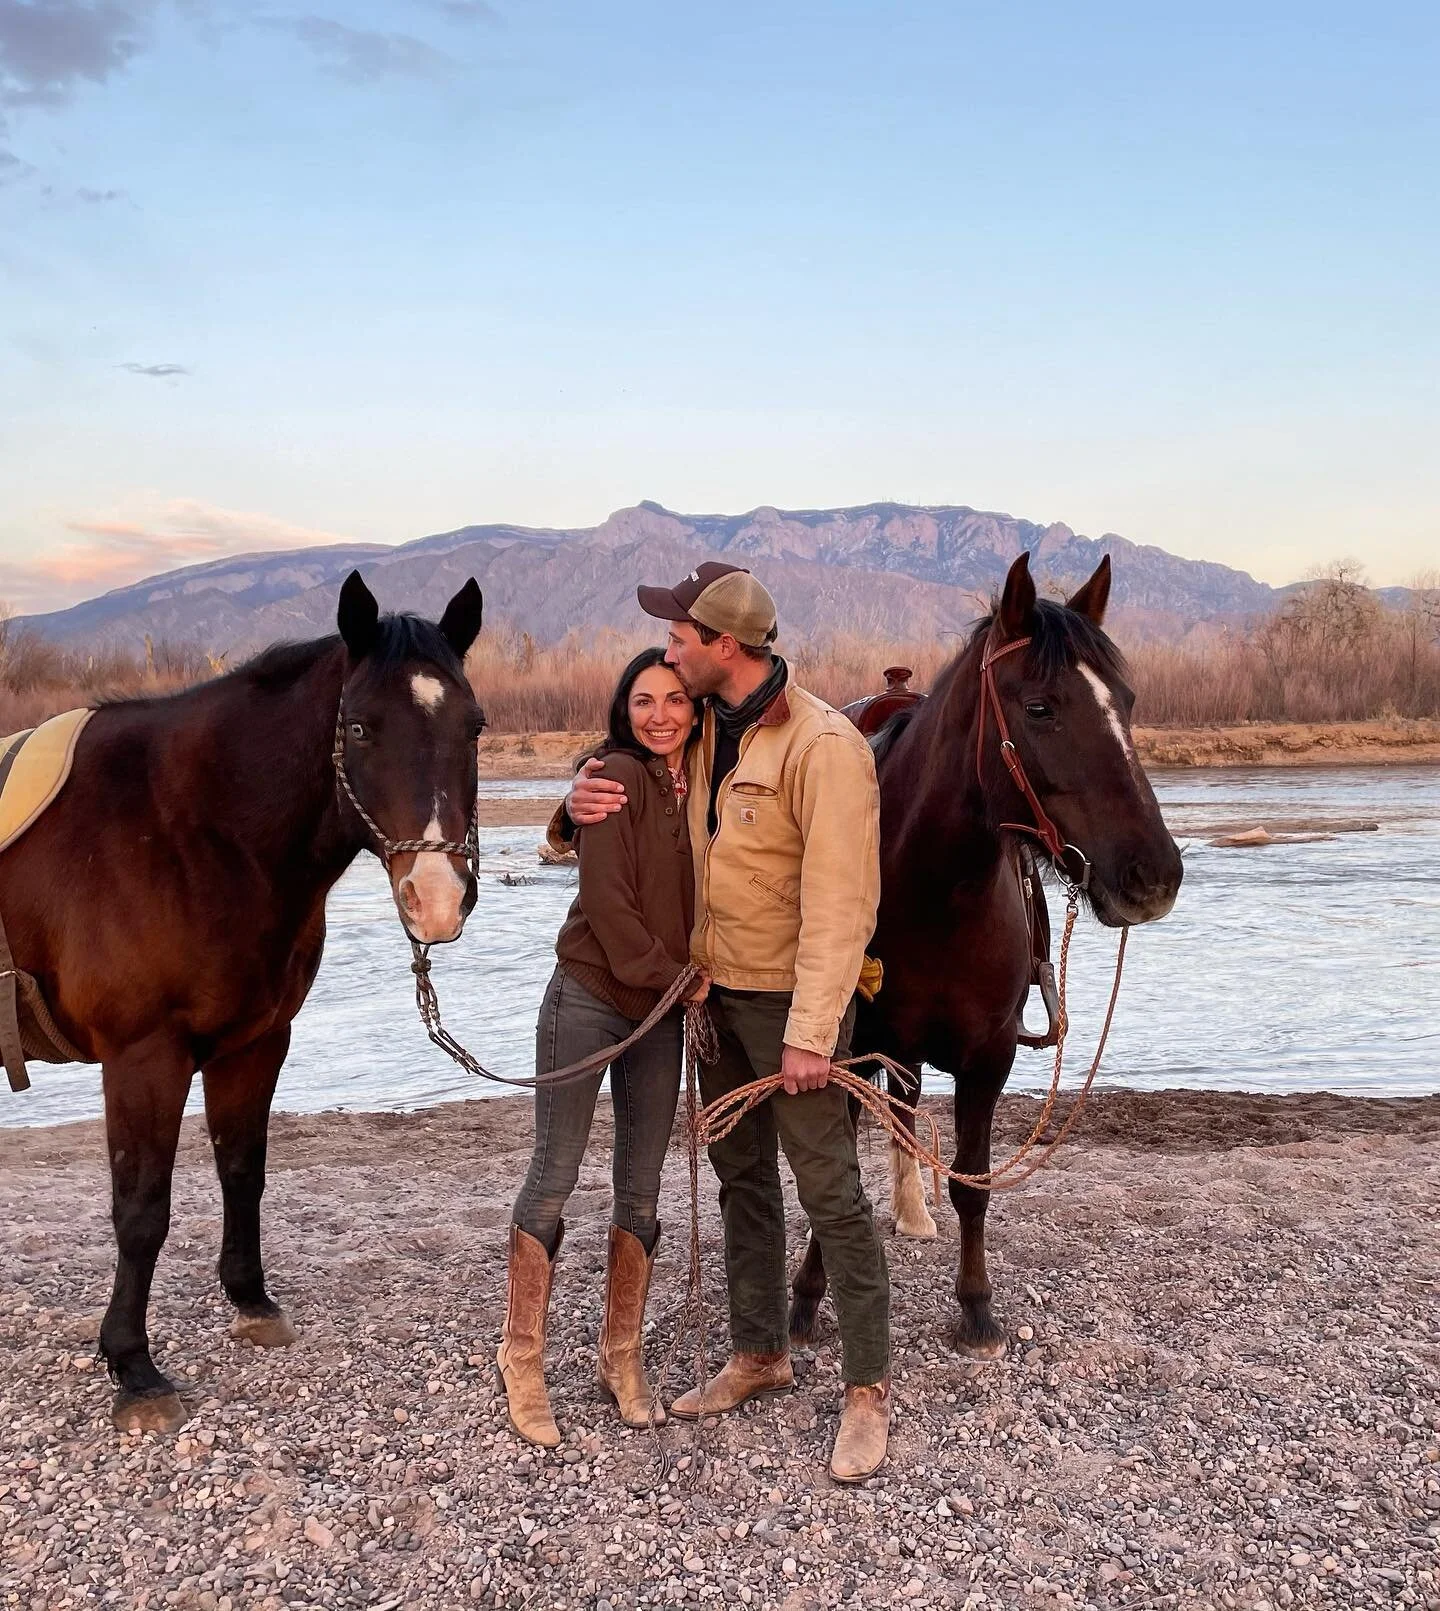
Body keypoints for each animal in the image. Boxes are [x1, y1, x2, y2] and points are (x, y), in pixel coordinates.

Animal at [0, 572, 486, 1433]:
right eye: (359, 727)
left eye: (473, 727)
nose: (436, 897)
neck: (191, 830)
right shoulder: (144, 1058)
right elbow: (142, 1209)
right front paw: (133, 1365)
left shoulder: (256, 1043)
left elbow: (242, 1169)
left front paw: (251, 1301)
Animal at [788, 552, 1184, 1356]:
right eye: (1039, 707)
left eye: (1127, 700)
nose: (1154, 875)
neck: (934, 891)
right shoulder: (845, 1052)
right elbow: (834, 1177)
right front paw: (809, 1297)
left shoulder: (990, 1055)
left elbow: (972, 1182)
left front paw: (976, 1308)